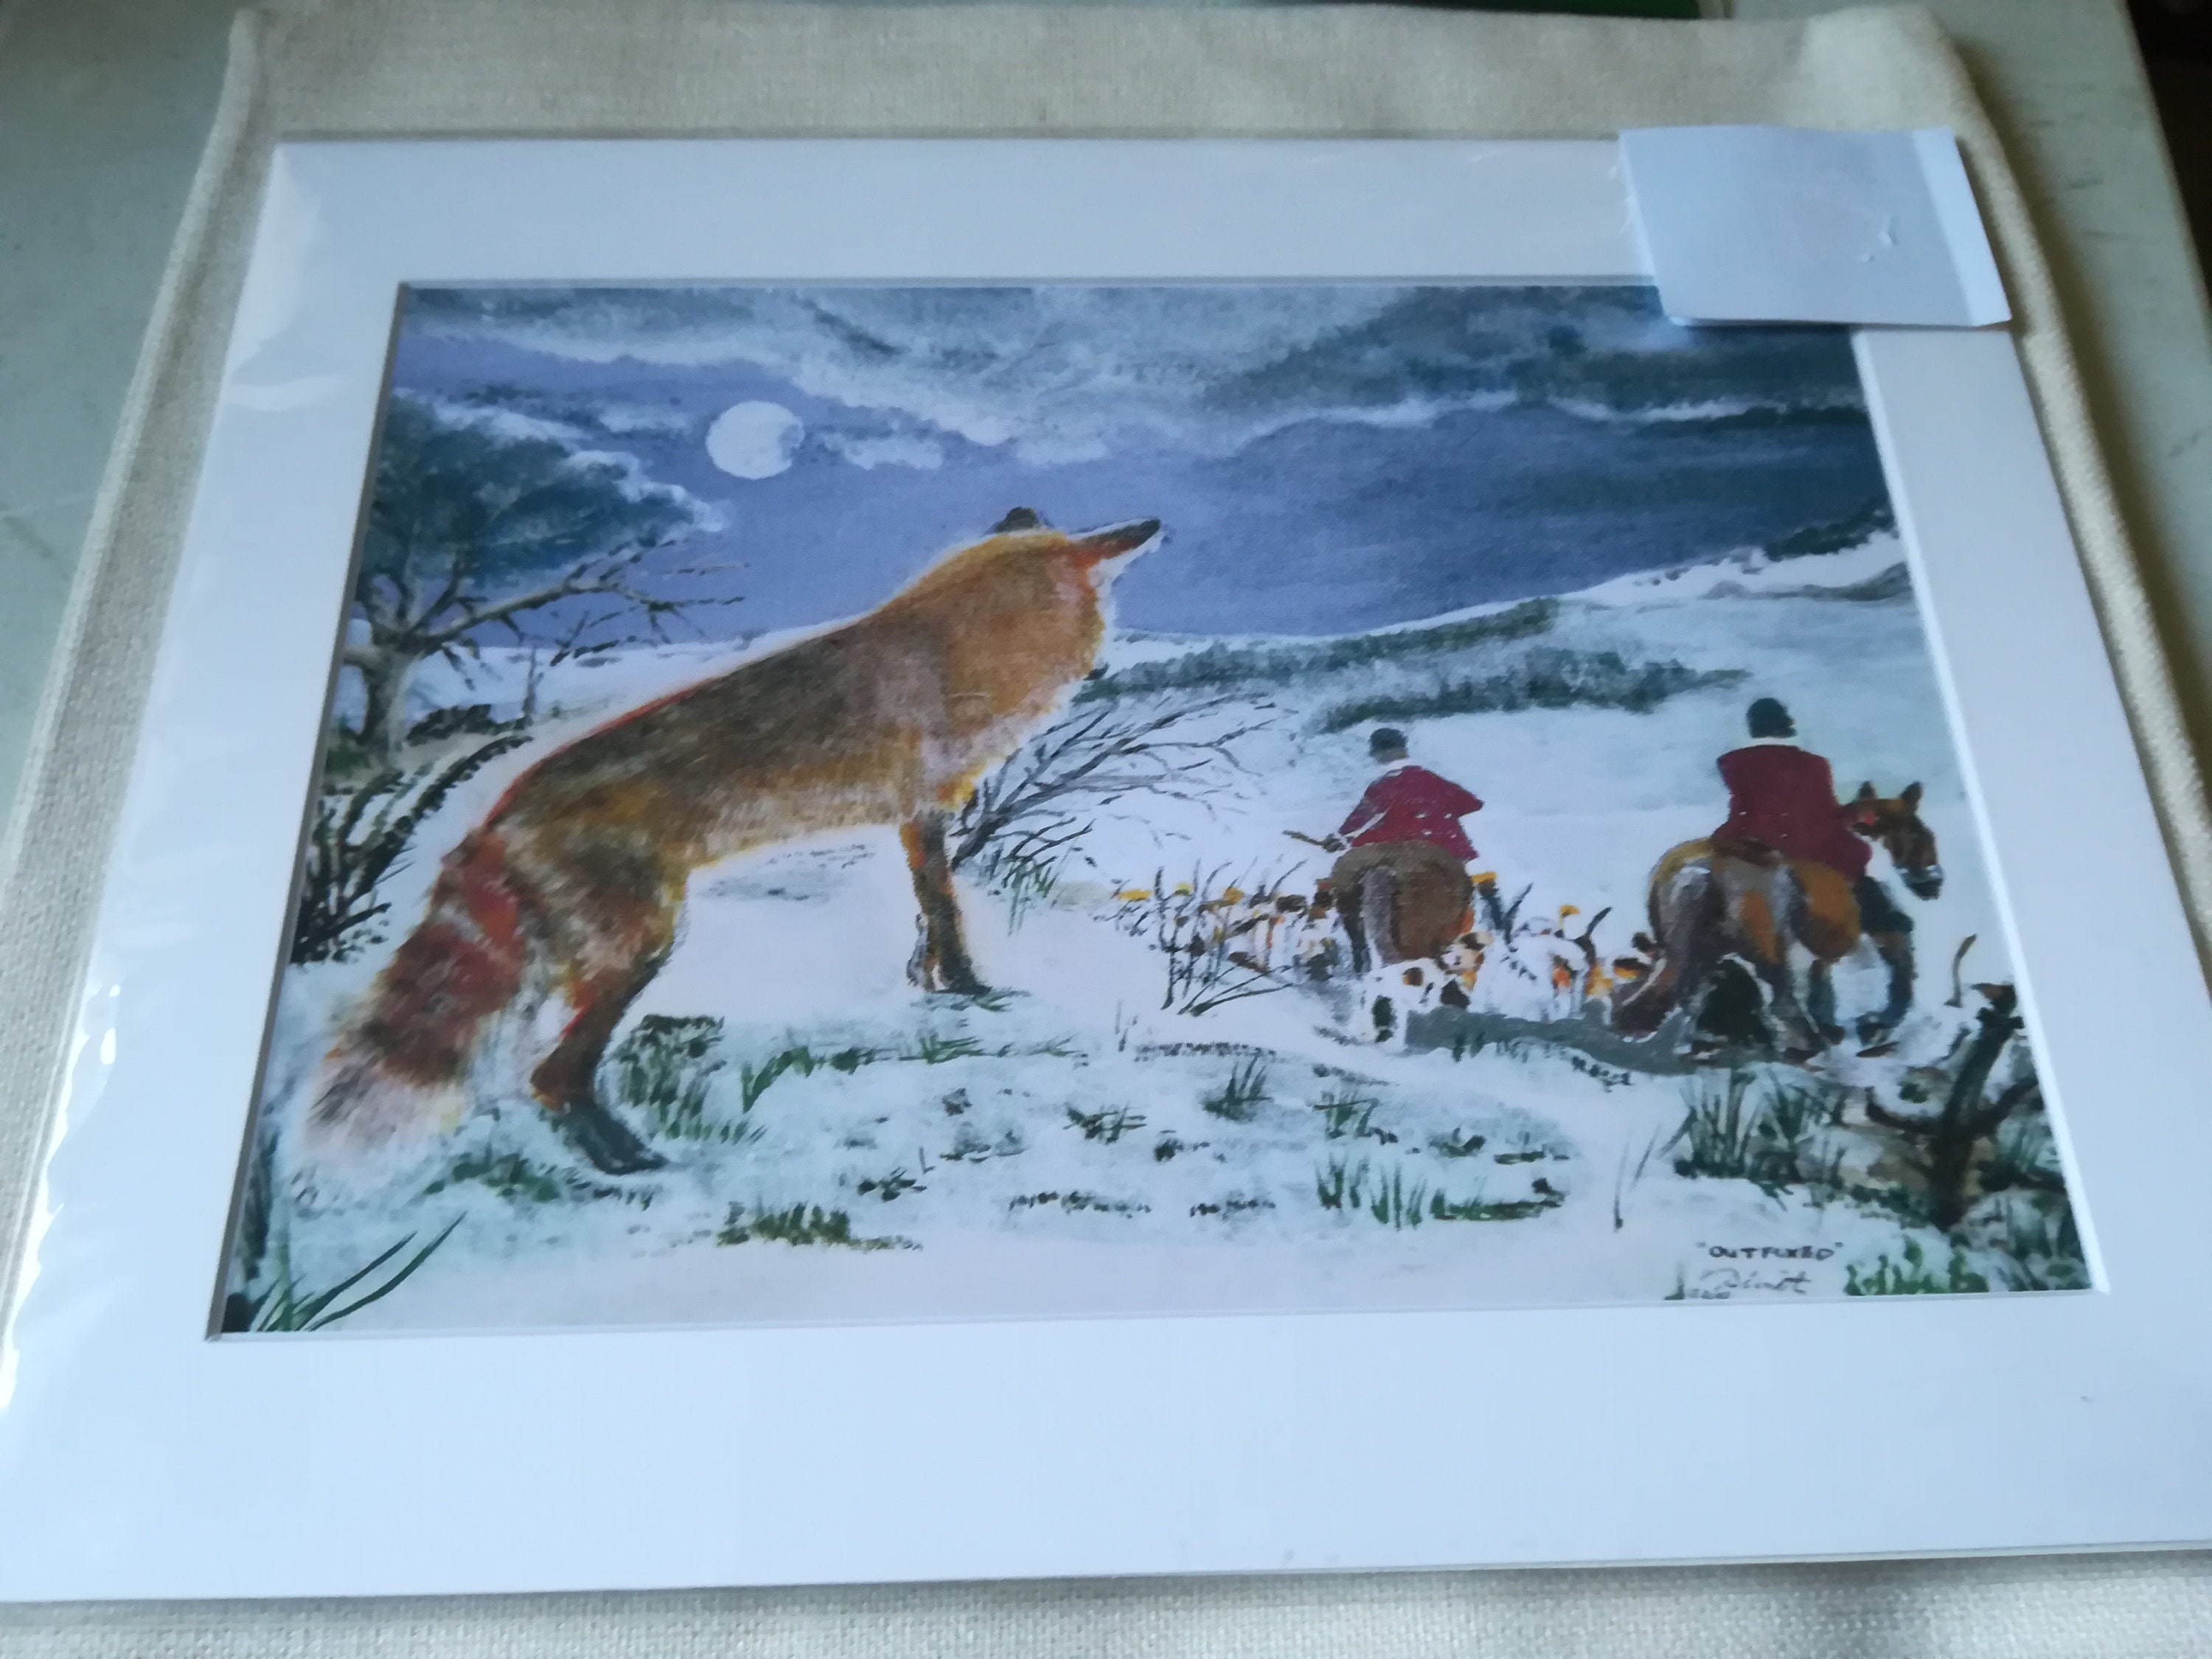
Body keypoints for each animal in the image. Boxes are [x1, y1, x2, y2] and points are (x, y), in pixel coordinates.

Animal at [304, 508, 1162, 1175]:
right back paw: (627, 1161)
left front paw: (929, 984)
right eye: (1105, 615)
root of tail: (497, 816)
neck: (955, 650)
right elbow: (948, 913)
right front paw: (971, 988)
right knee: (551, 1076)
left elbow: (927, 914)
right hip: (640, 947)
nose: (1111, 666)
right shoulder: (924, 809)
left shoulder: (912, 822)